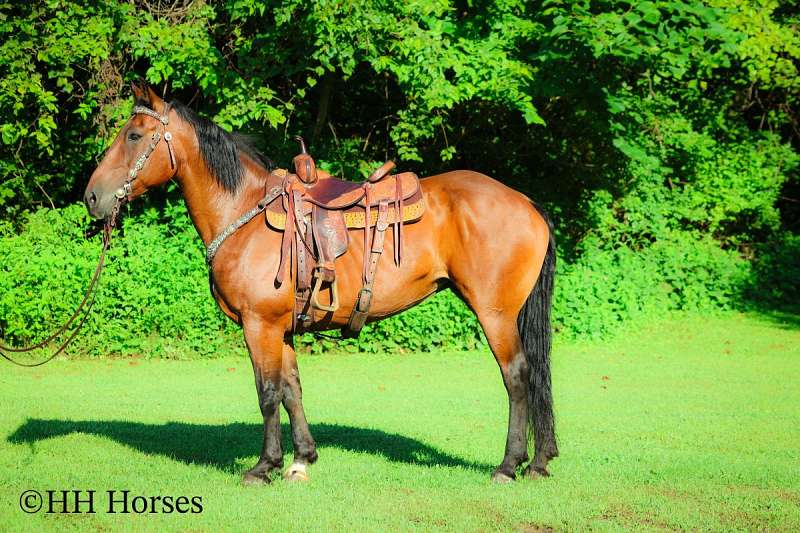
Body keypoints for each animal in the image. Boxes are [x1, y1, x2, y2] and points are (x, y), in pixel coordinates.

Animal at [83, 82, 558, 484]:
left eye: (134, 135)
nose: (91, 197)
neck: (245, 213)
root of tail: (527, 202)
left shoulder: (259, 325)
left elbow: (268, 392)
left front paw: (264, 466)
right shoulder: (282, 329)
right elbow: (292, 389)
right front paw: (301, 459)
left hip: (495, 314)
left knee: (518, 376)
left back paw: (509, 465)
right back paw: (538, 461)